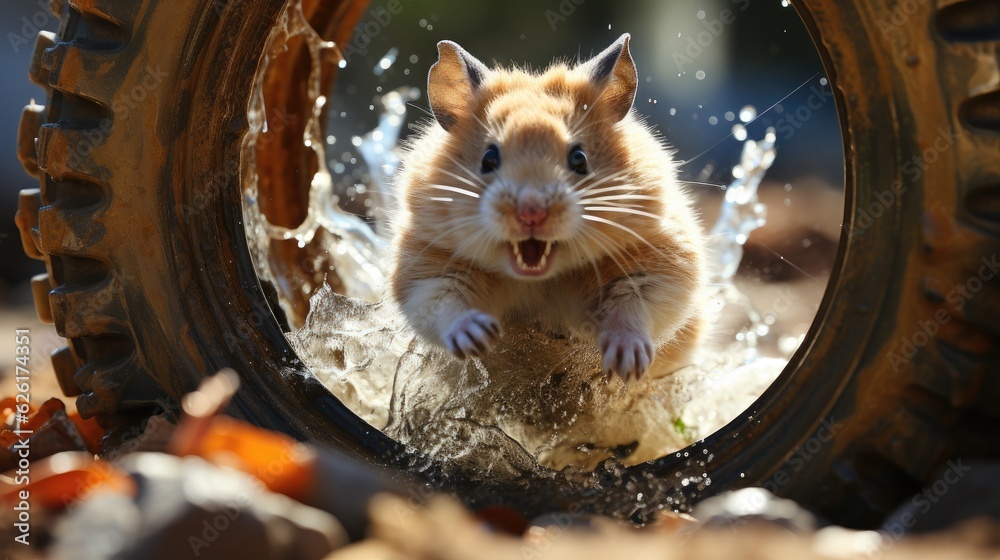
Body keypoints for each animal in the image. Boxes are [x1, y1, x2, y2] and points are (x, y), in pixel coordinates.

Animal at [390, 34, 705, 381]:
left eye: (579, 159)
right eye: (488, 159)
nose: (531, 213)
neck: (539, 276)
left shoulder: (662, 266)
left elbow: (632, 304)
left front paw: (627, 367)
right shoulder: (426, 268)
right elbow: (447, 303)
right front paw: (478, 338)